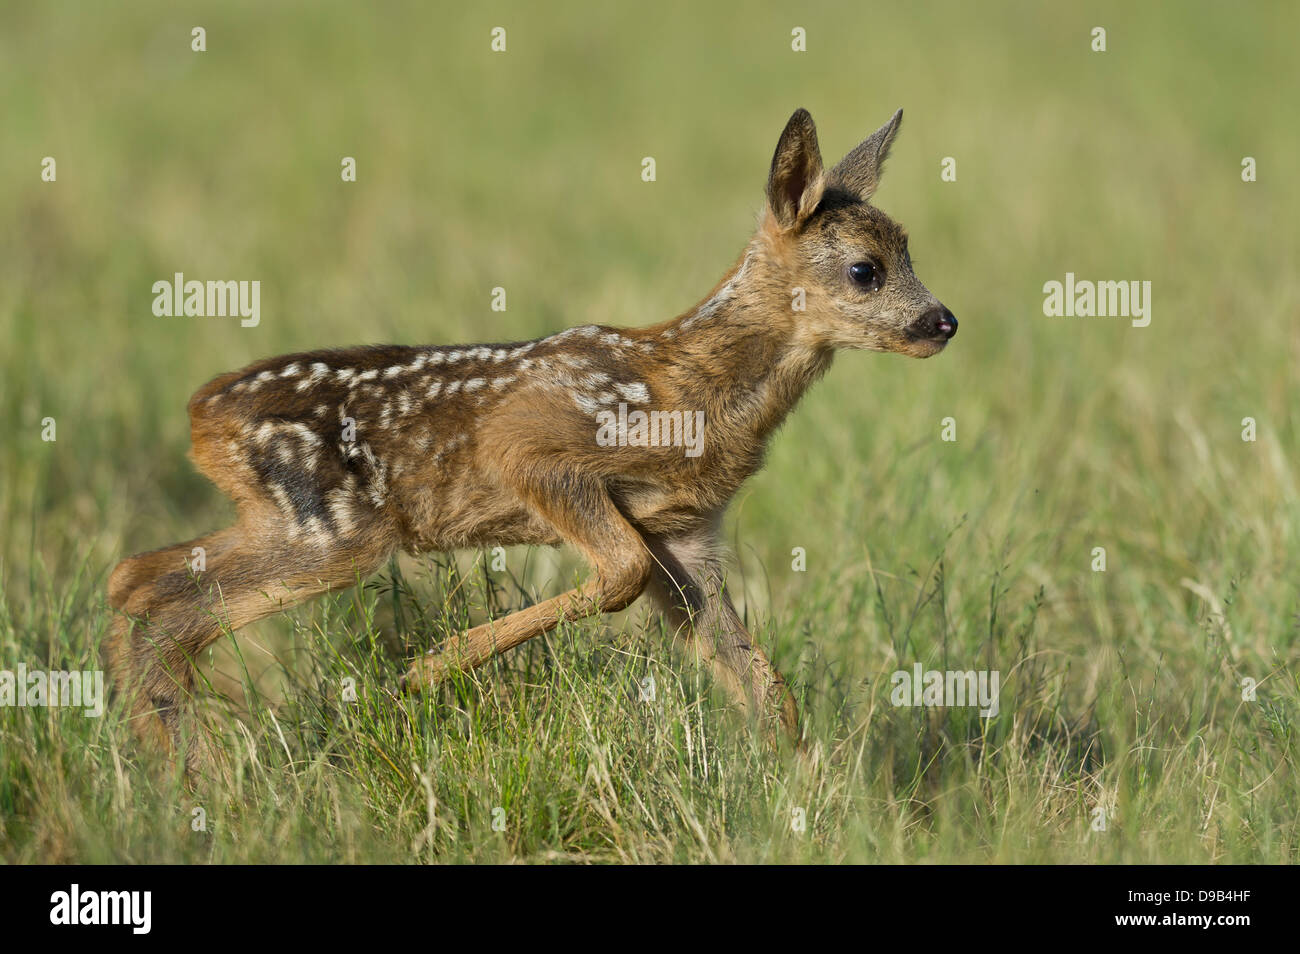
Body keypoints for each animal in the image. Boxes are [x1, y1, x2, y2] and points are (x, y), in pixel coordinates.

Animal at [106, 107, 957, 779]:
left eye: (913, 250)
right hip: (333, 534)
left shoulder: (688, 535)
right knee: (162, 602)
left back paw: (164, 763)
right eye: (865, 270)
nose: (943, 321)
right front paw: (428, 669)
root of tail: (200, 417)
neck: (692, 391)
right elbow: (619, 572)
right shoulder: (534, 450)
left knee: (135, 578)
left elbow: (762, 687)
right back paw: (191, 772)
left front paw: (815, 799)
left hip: (288, 523)